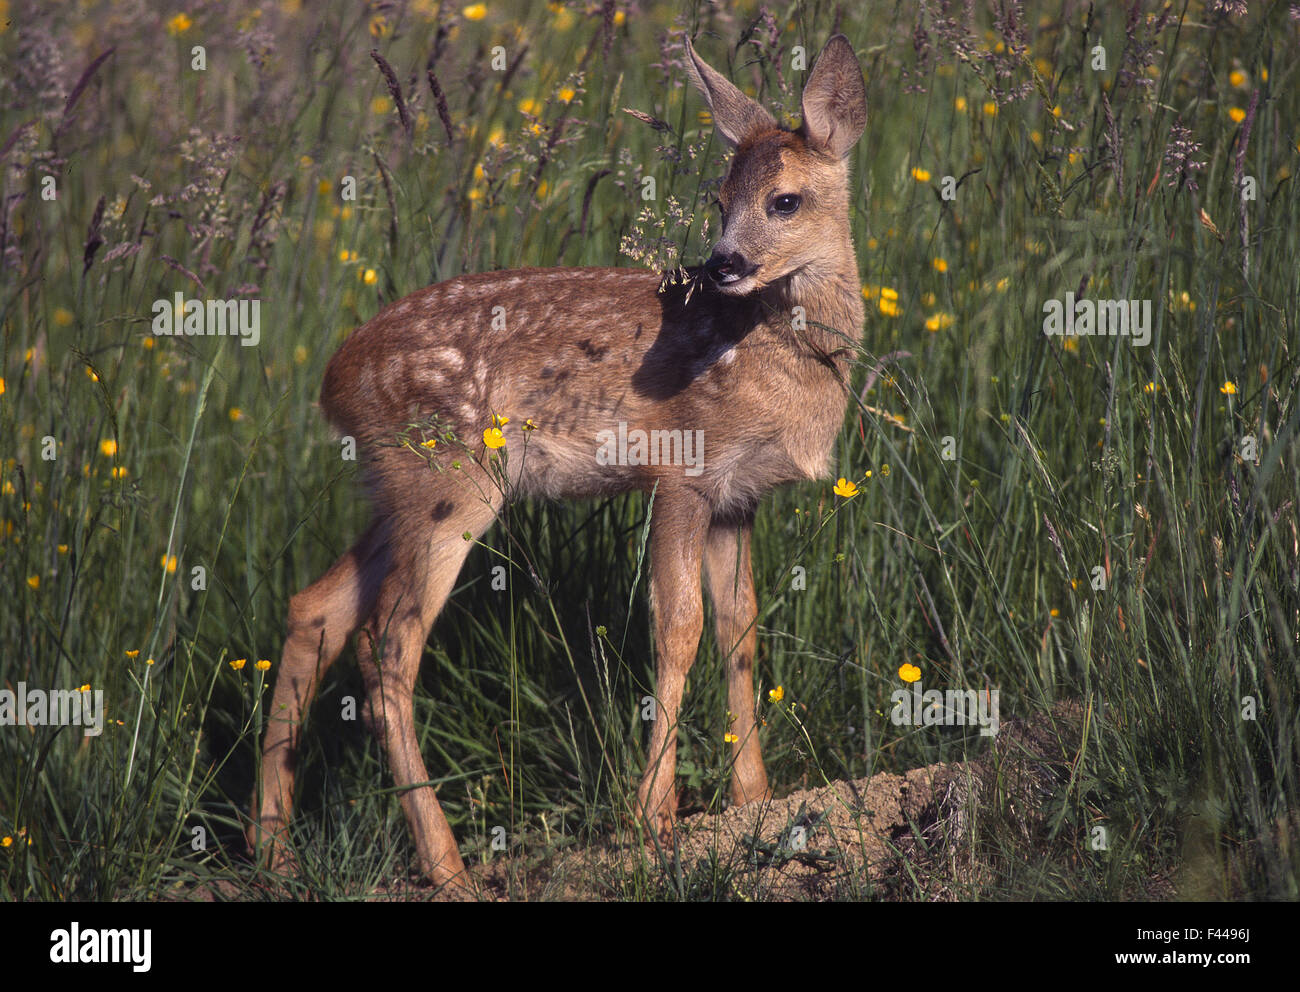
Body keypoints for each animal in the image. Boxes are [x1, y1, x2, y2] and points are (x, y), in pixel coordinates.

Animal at [247, 33, 867, 890]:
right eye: (718, 201)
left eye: (784, 201)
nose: (724, 263)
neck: (773, 355)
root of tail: (331, 381)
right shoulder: (683, 468)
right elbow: (678, 629)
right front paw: (651, 820)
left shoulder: (738, 497)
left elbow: (740, 631)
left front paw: (756, 799)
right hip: (453, 482)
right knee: (387, 648)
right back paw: (448, 866)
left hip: (398, 488)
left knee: (316, 607)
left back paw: (270, 848)